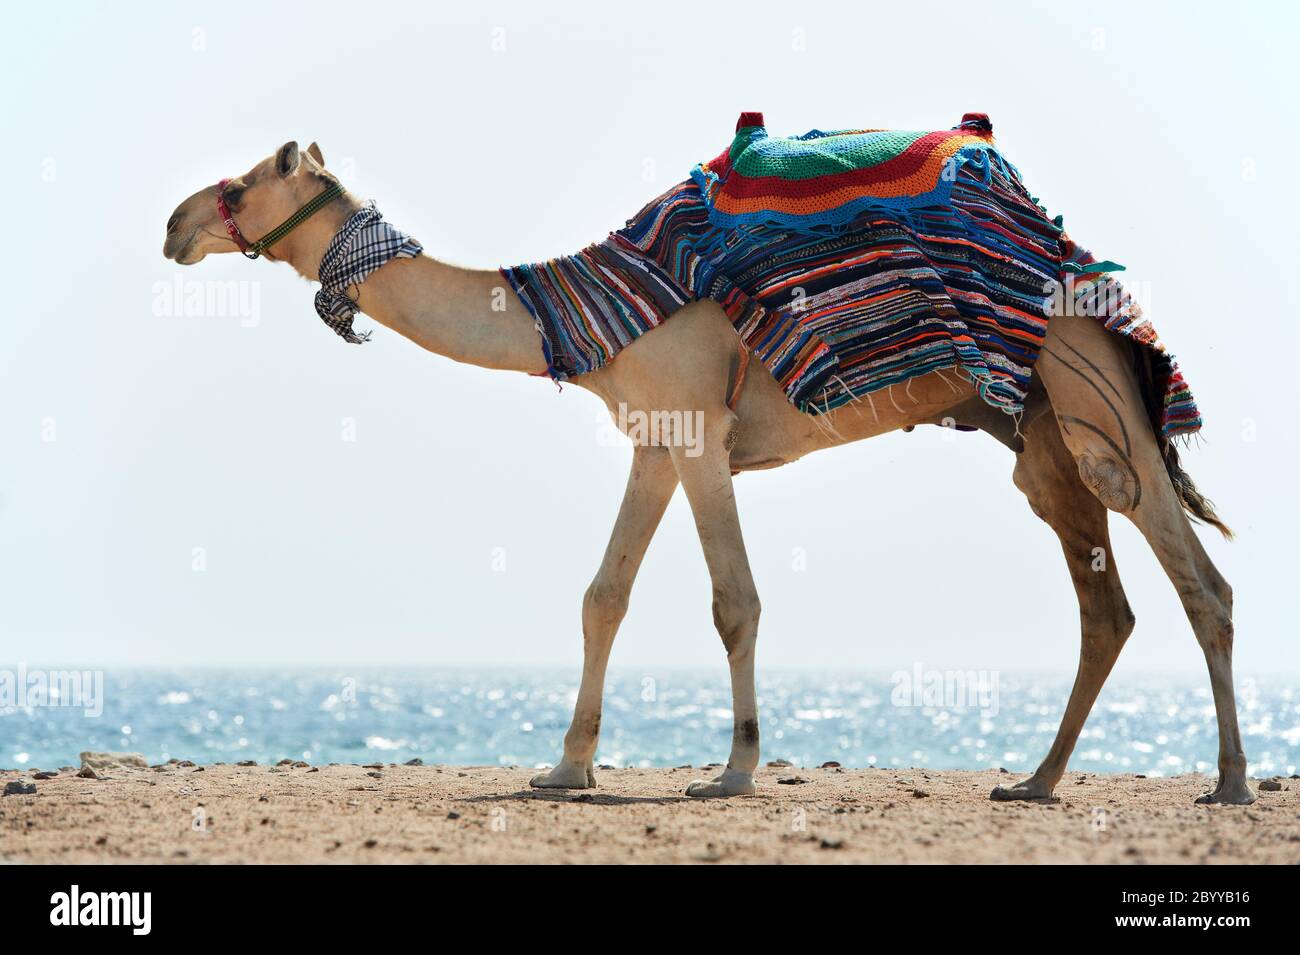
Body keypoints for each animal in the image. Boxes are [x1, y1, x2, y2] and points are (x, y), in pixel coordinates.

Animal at [162, 139, 1252, 805]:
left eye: (249, 179)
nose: (174, 223)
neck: (590, 315)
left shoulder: (698, 436)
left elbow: (735, 600)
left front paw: (731, 770)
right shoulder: (653, 440)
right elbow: (602, 595)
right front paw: (566, 768)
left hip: (1093, 396)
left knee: (1201, 580)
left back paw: (1232, 780)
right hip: (1039, 439)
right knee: (1106, 605)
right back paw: (1034, 779)